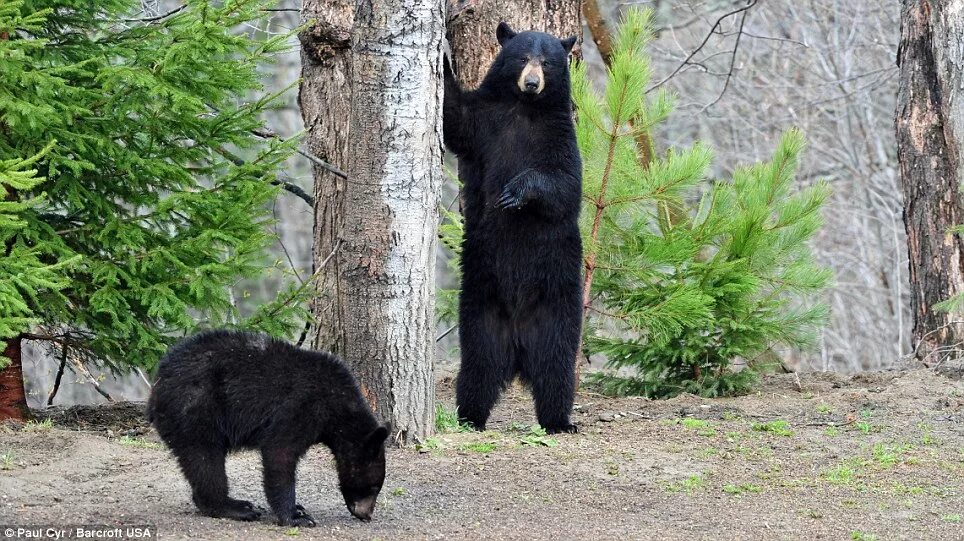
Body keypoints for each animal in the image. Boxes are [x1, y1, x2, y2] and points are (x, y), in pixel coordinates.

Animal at [147, 330, 388, 528]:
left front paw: (299, 508)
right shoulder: (303, 408)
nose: (367, 515)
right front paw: (296, 516)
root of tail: (158, 381)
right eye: (375, 487)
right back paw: (237, 507)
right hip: (195, 408)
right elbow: (280, 452)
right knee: (205, 459)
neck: (338, 404)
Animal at [442, 22, 580, 434]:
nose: (532, 83)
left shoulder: (560, 133)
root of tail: (518, 346)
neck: (524, 109)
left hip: (557, 306)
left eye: (547, 62)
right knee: (478, 368)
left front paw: (515, 192)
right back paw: (470, 416)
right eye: (522, 58)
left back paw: (559, 421)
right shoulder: (485, 121)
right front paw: (441, 59)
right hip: (481, 306)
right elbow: (456, 117)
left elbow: (565, 183)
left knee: (556, 368)